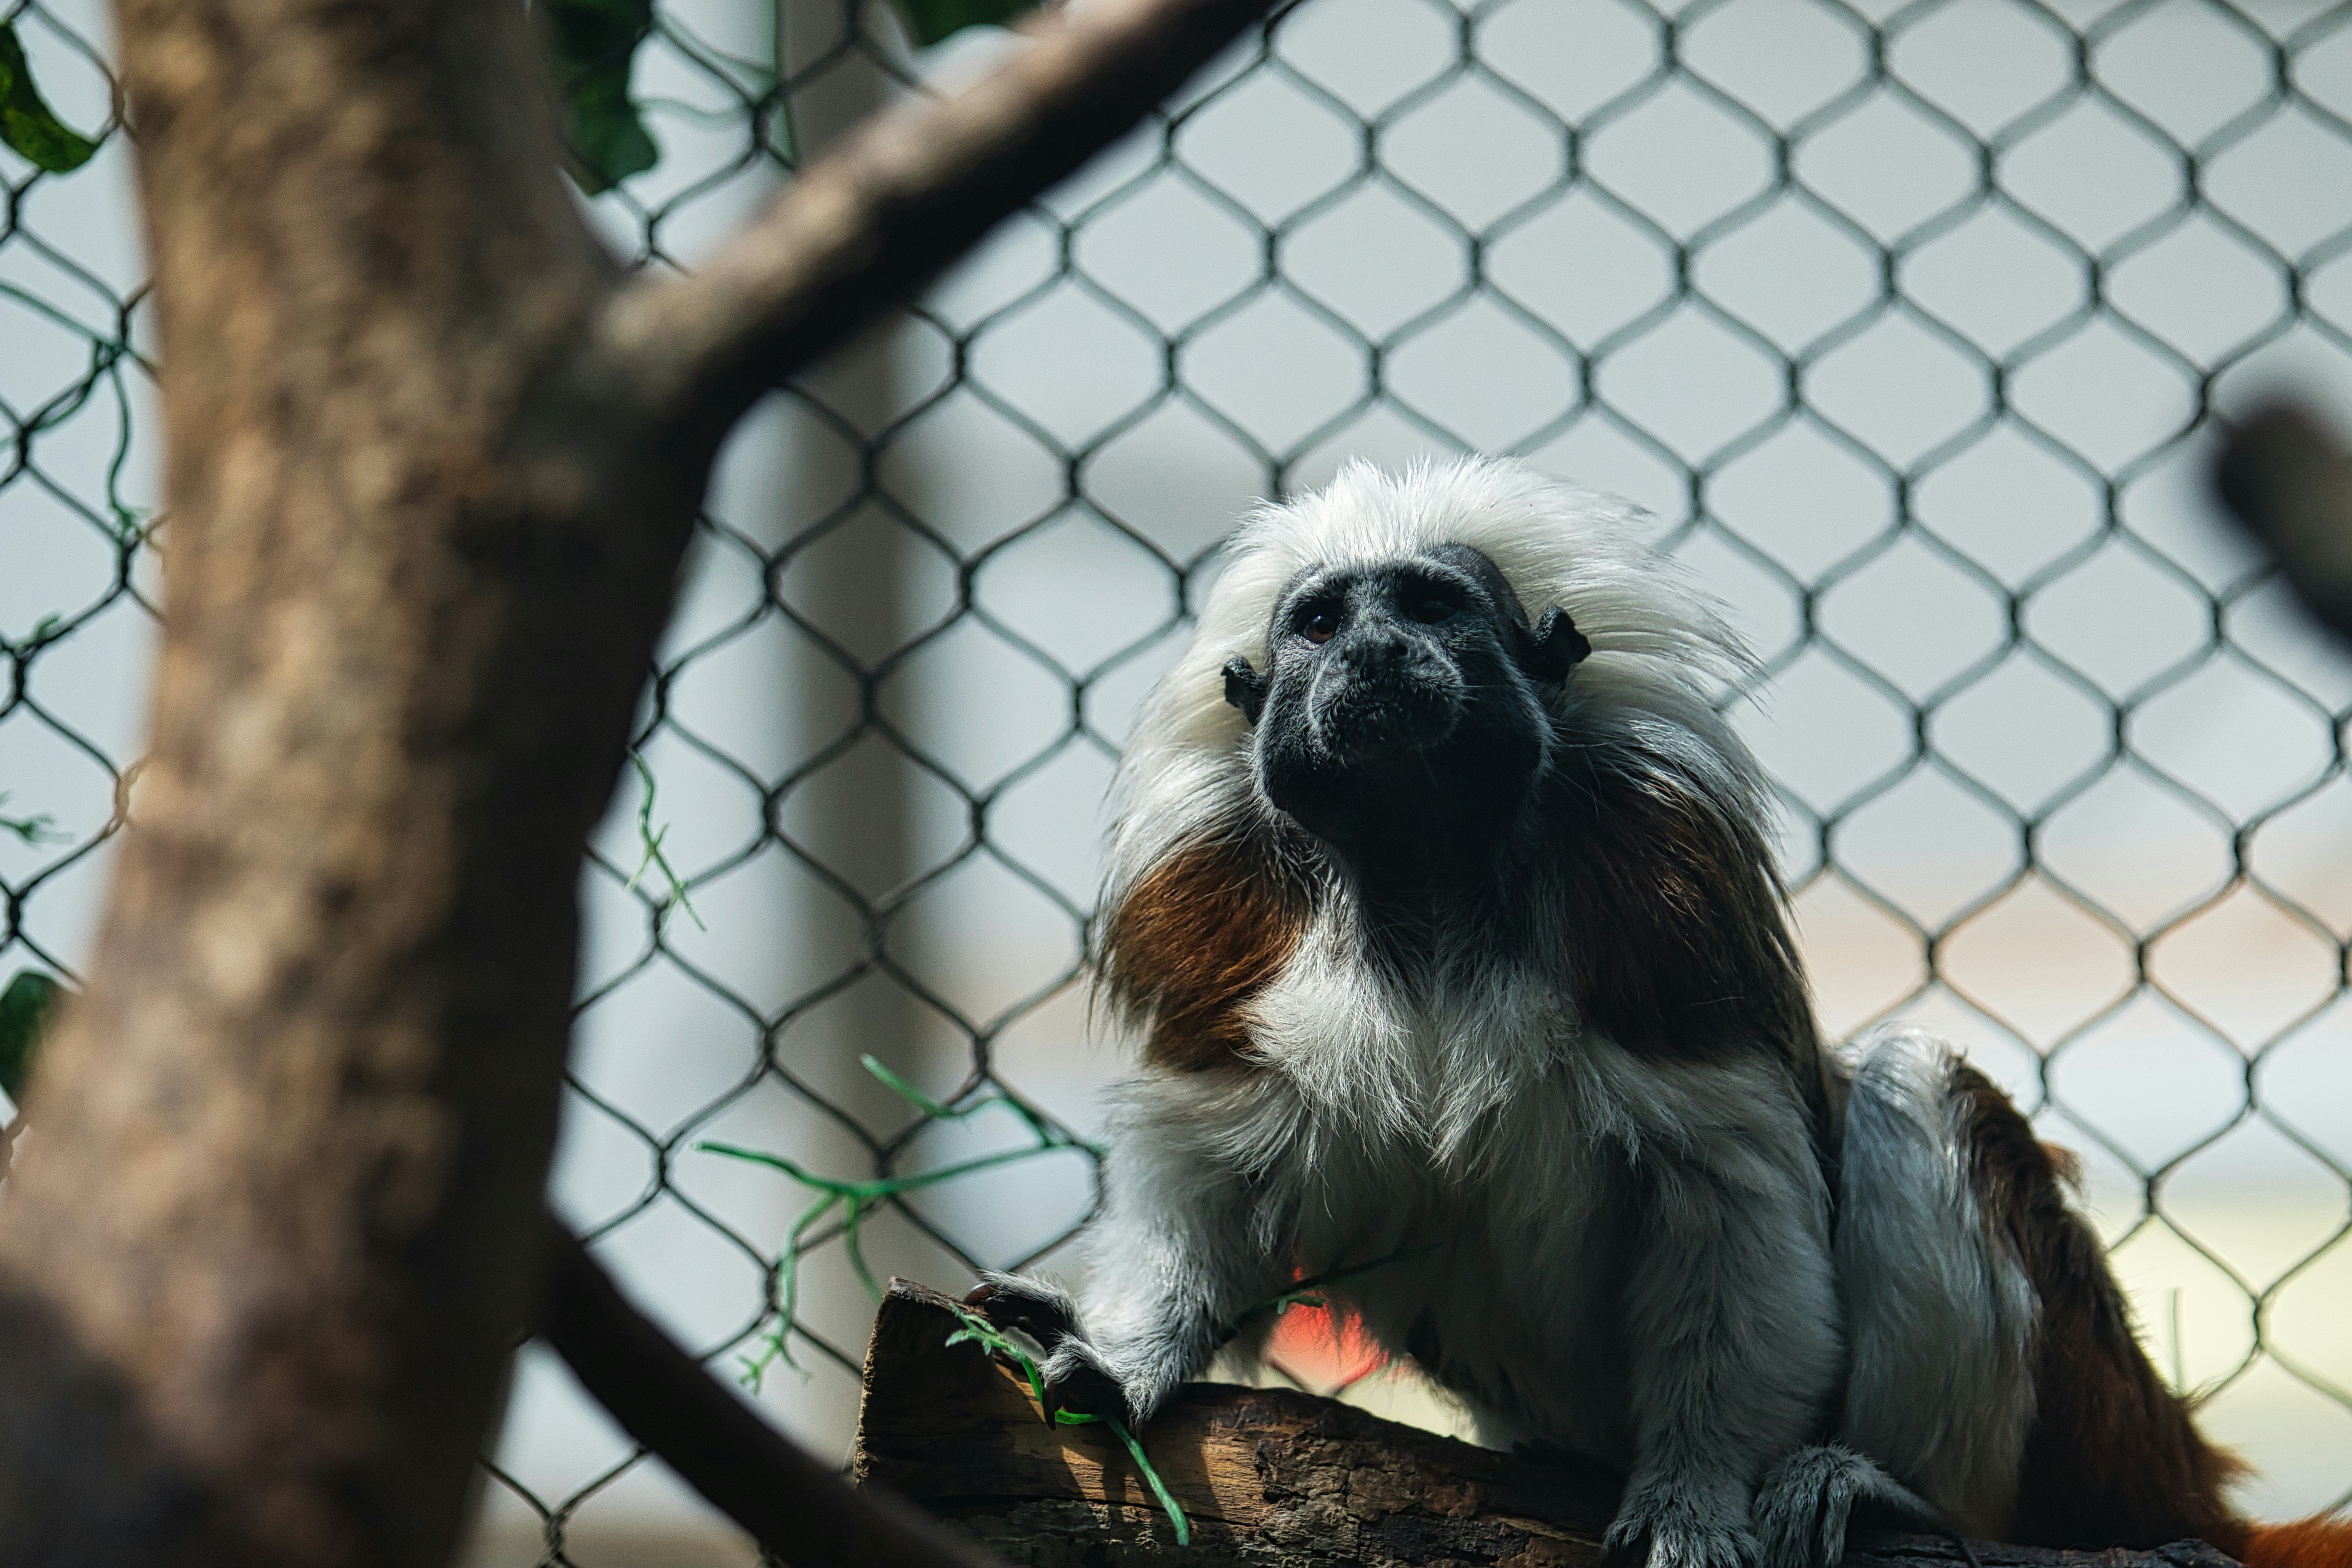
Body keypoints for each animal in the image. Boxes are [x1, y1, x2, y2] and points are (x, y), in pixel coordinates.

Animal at [968, 456, 2351, 1568]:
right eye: (1317, 621)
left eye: (1426, 607)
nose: (1369, 654)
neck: (1430, 883)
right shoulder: (1221, 925)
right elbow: (1212, 1187)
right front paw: (1126, 1356)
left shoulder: (1660, 897)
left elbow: (1727, 1201)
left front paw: (1697, 1495)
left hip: (2091, 1424)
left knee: (1916, 1086)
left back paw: (1892, 1492)